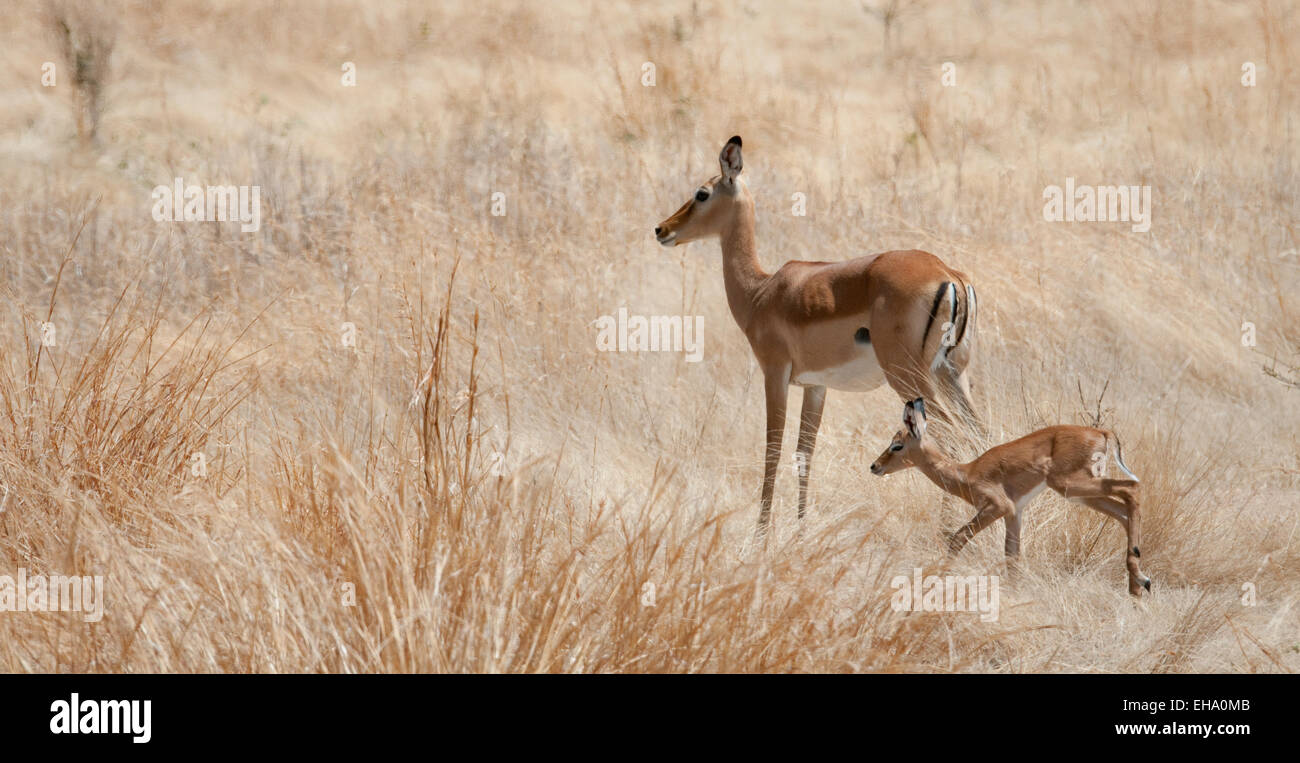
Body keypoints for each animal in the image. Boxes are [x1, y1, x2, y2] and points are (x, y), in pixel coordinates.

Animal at [654, 136, 980, 538]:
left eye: (701, 193)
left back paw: (944, 527)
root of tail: (949, 274)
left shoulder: (775, 373)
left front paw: (762, 532)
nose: (662, 229)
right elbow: (804, 452)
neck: (761, 291)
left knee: (949, 433)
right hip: (952, 374)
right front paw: (800, 526)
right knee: (978, 430)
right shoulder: (815, 386)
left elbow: (773, 447)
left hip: (908, 376)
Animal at [870, 398, 1151, 596]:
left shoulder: (997, 506)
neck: (966, 473)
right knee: (1124, 511)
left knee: (1132, 488)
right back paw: (1137, 586)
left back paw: (1141, 581)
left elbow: (958, 537)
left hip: (1069, 486)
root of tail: (1103, 433)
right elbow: (1012, 557)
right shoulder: (1014, 513)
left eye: (897, 445)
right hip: (1081, 493)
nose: (875, 466)